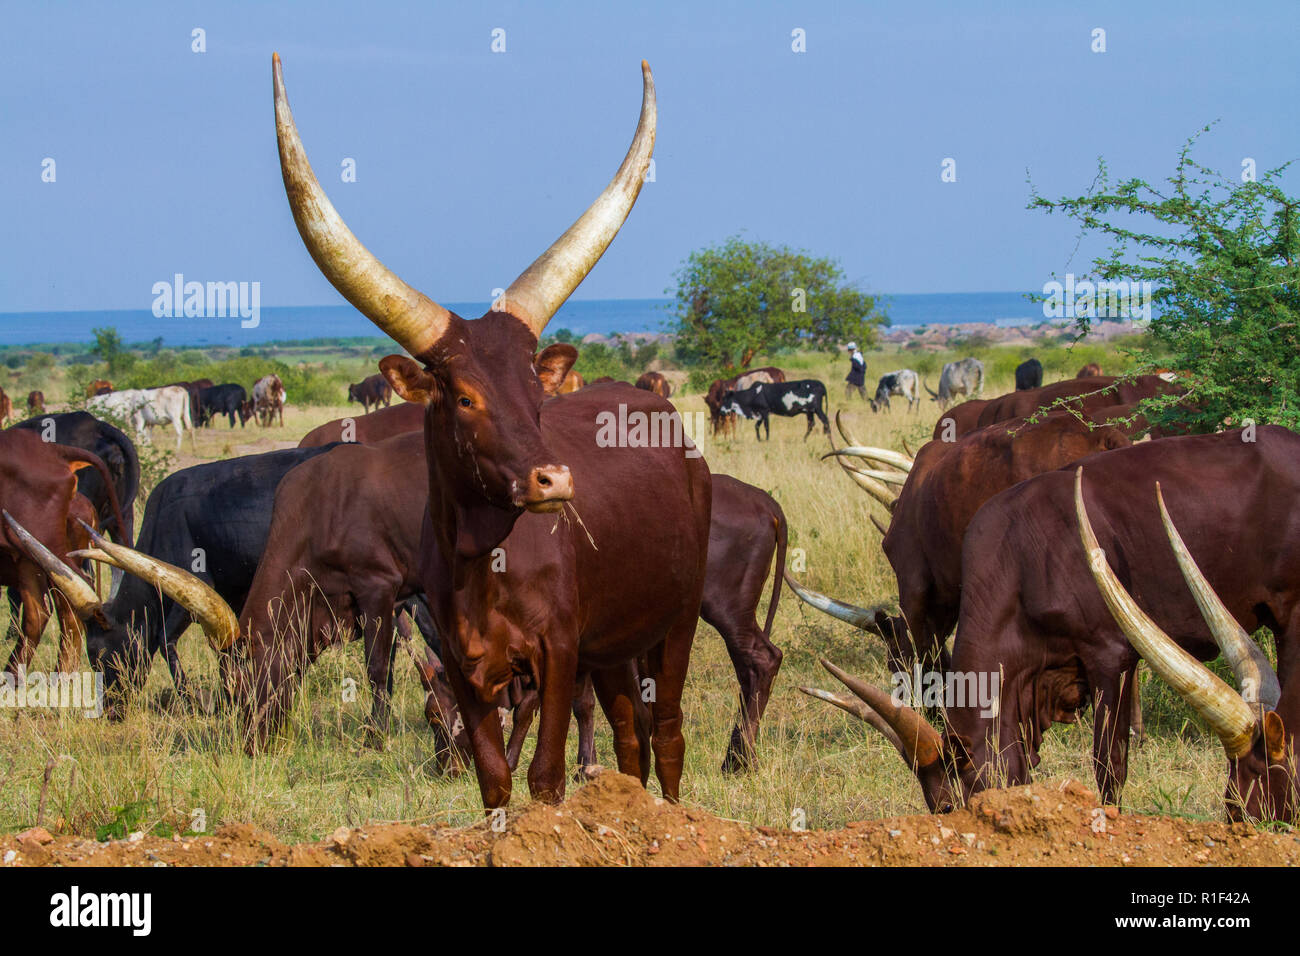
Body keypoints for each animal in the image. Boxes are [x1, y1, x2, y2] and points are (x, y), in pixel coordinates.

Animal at [272, 53, 710, 809]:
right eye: (466, 397)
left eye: (537, 395)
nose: (553, 480)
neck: (484, 560)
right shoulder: (461, 660)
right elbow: (494, 778)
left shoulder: (558, 652)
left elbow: (545, 775)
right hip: (616, 643)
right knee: (631, 736)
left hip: (675, 622)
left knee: (670, 733)